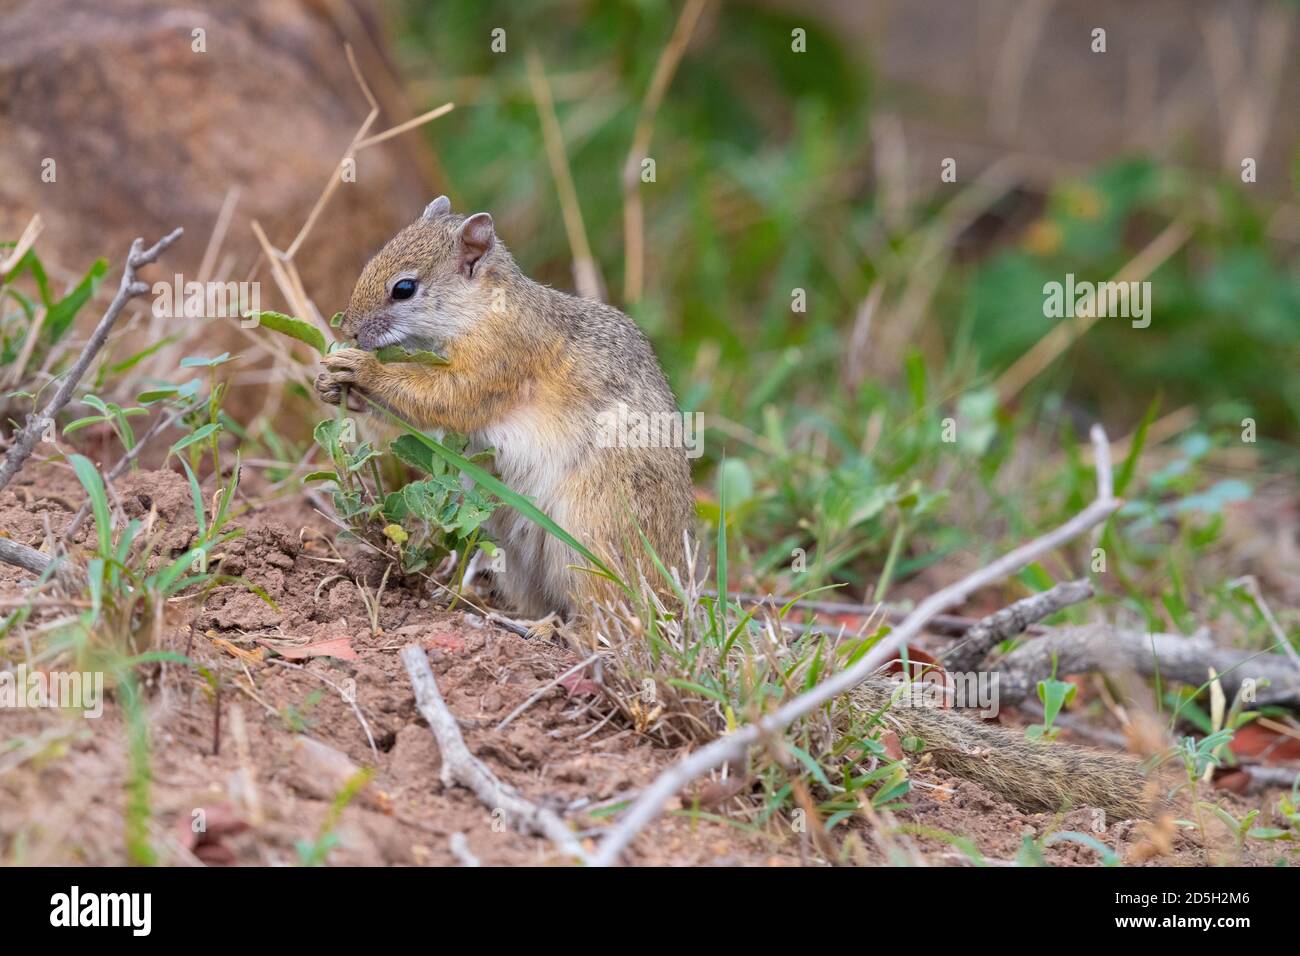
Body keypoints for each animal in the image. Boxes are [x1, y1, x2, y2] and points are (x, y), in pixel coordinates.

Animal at [317, 197, 1156, 822]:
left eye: (404, 288)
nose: (343, 326)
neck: (487, 305)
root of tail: (675, 603)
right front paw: (335, 379)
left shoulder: (499, 359)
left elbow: (447, 401)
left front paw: (358, 371)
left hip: (590, 538)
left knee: (607, 629)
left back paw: (548, 631)